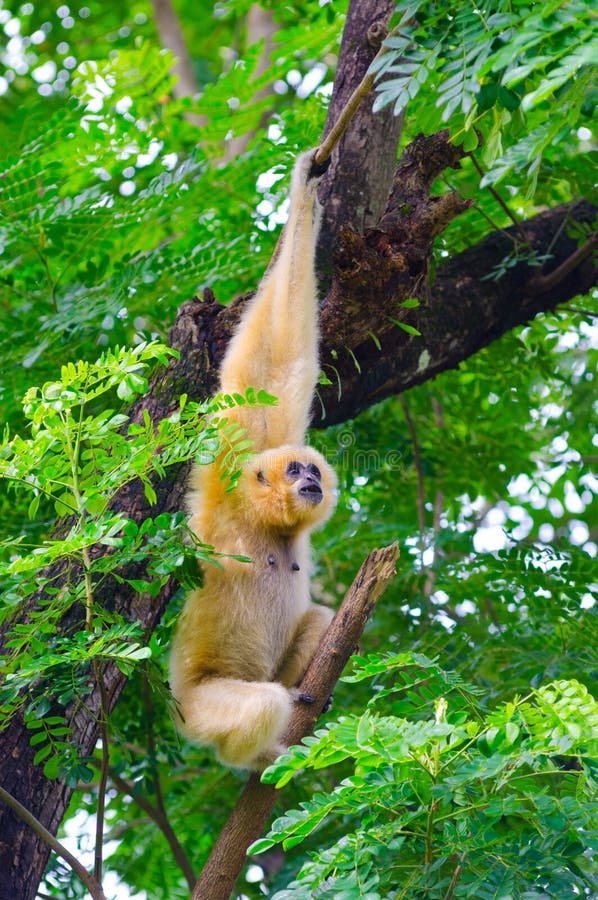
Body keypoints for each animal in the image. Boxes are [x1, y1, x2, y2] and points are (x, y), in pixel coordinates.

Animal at [169, 149, 337, 771]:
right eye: (295, 471)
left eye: (313, 471)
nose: (311, 481)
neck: (266, 527)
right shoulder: (227, 486)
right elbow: (260, 369)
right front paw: (305, 187)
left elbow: (281, 373)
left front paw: (310, 190)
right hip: (199, 709)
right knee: (261, 701)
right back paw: (263, 758)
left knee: (321, 619)